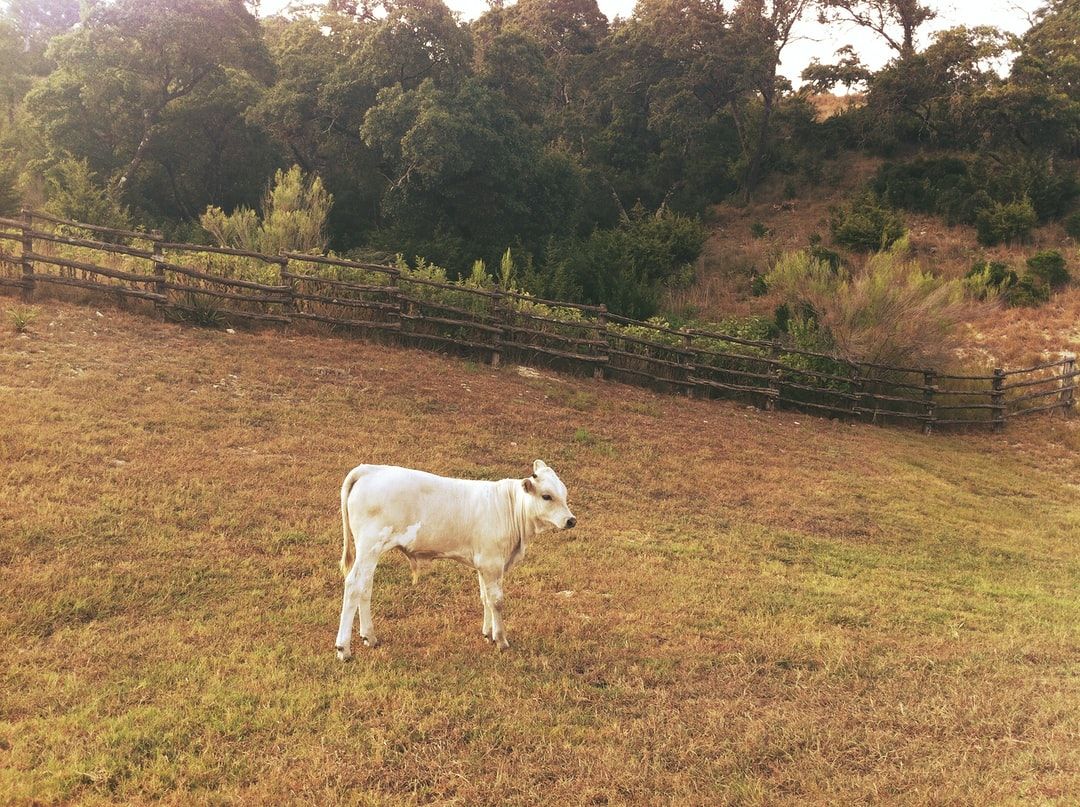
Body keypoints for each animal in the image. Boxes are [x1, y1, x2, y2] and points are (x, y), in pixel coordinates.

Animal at [334, 460, 576, 659]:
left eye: (563, 493)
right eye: (547, 496)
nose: (571, 520)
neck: (509, 508)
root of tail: (369, 469)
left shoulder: (483, 564)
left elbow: (484, 598)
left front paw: (487, 633)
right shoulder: (492, 563)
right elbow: (496, 600)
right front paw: (501, 639)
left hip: (371, 553)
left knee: (365, 588)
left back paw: (369, 637)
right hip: (369, 546)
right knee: (354, 585)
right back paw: (343, 648)